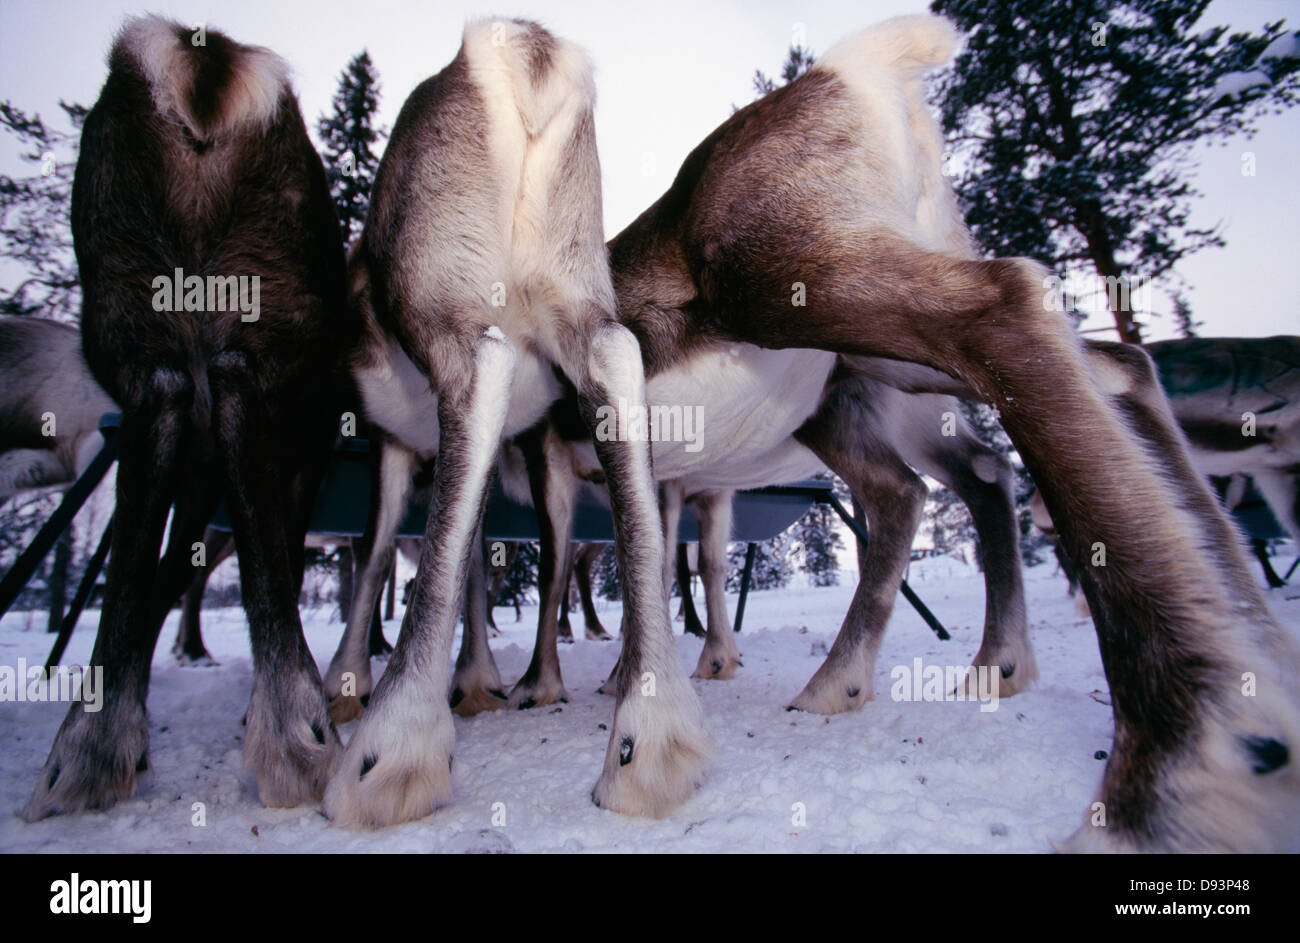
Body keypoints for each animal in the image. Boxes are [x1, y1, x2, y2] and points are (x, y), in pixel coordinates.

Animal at [23, 16, 358, 820]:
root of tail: (203, 74)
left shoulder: (212, 473)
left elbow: (164, 571)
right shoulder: (295, 455)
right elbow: (256, 560)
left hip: (143, 317)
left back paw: (94, 748)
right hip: (247, 323)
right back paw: (287, 733)